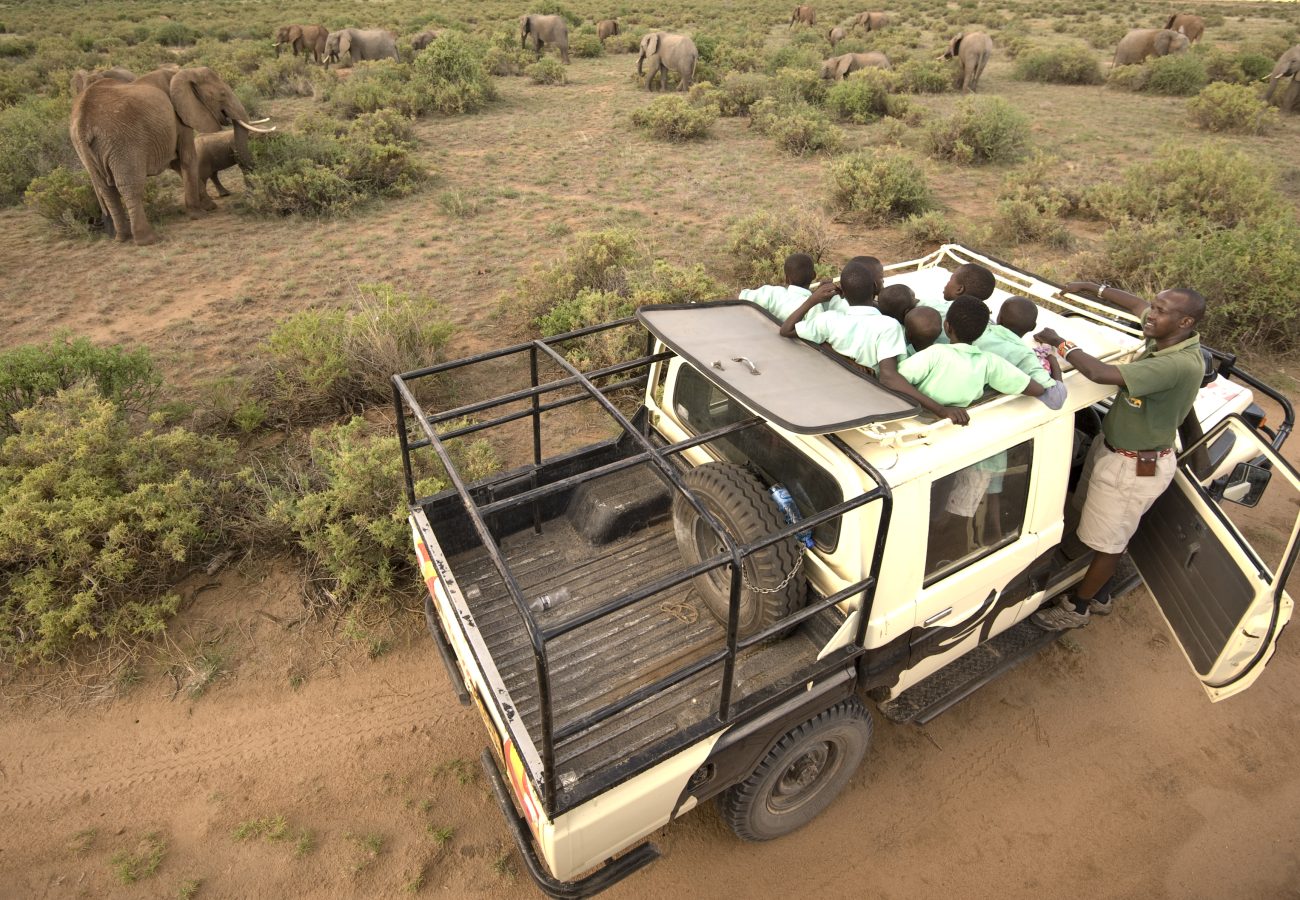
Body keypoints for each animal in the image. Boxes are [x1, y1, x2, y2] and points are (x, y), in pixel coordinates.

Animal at [69, 66, 273, 245]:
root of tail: (82, 124)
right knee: (130, 187)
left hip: (86, 149)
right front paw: (200, 214)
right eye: (222, 94)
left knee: (106, 190)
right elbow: (188, 159)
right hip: (122, 144)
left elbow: (177, 164)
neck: (183, 72)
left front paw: (209, 206)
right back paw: (147, 239)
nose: (250, 191)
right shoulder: (179, 119)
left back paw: (121, 239)